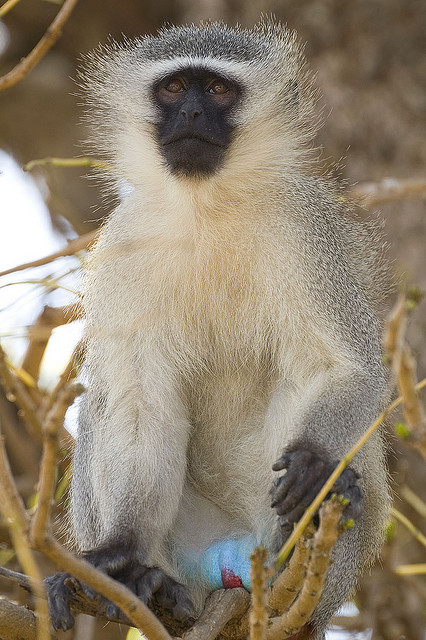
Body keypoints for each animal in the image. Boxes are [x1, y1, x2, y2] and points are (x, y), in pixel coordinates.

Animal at [46, 21, 390, 639]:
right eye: (174, 88)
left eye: (219, 91)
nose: (191, 116)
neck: (206, 205)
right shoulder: (122, 244)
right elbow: (142, 402)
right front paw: (120, 552)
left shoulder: (302, 231)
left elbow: (345, 367)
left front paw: (312, 464)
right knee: (109, 402)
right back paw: (149, 584)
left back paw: (306, 525)